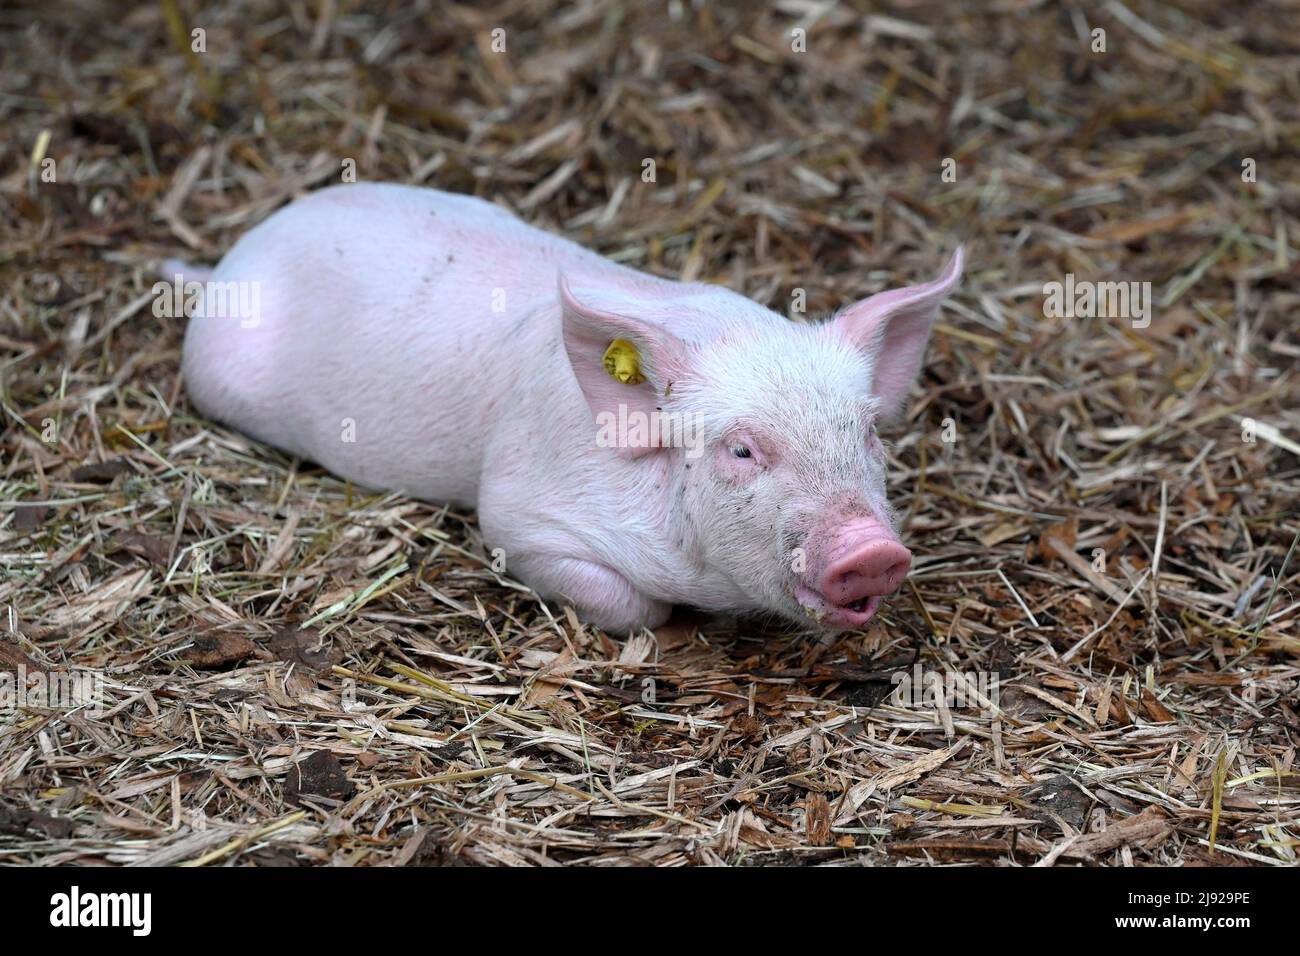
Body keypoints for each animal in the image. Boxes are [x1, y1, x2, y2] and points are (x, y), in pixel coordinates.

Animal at [179, 184, 962, 633]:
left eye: (867, 432)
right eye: (741, 449)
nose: (872, 550)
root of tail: (234, 257)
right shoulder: (518, 517)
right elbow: (635, 606)